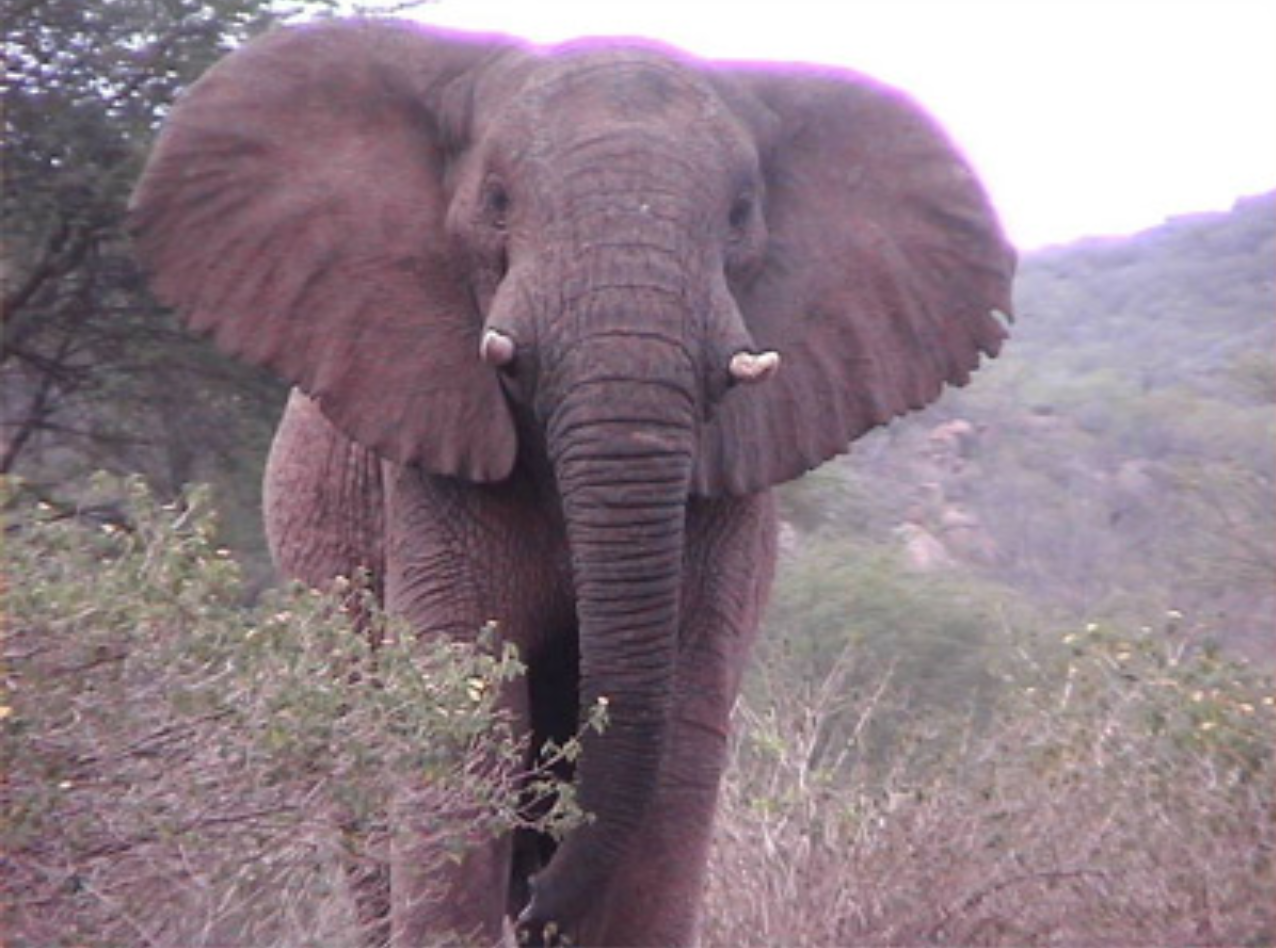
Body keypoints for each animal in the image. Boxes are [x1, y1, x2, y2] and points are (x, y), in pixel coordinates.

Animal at [130, 17, 1014, 946]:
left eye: (741, 213)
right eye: (496, 200)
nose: (537, 897)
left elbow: (678, 738)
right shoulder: (427, 458)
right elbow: (468, 720)